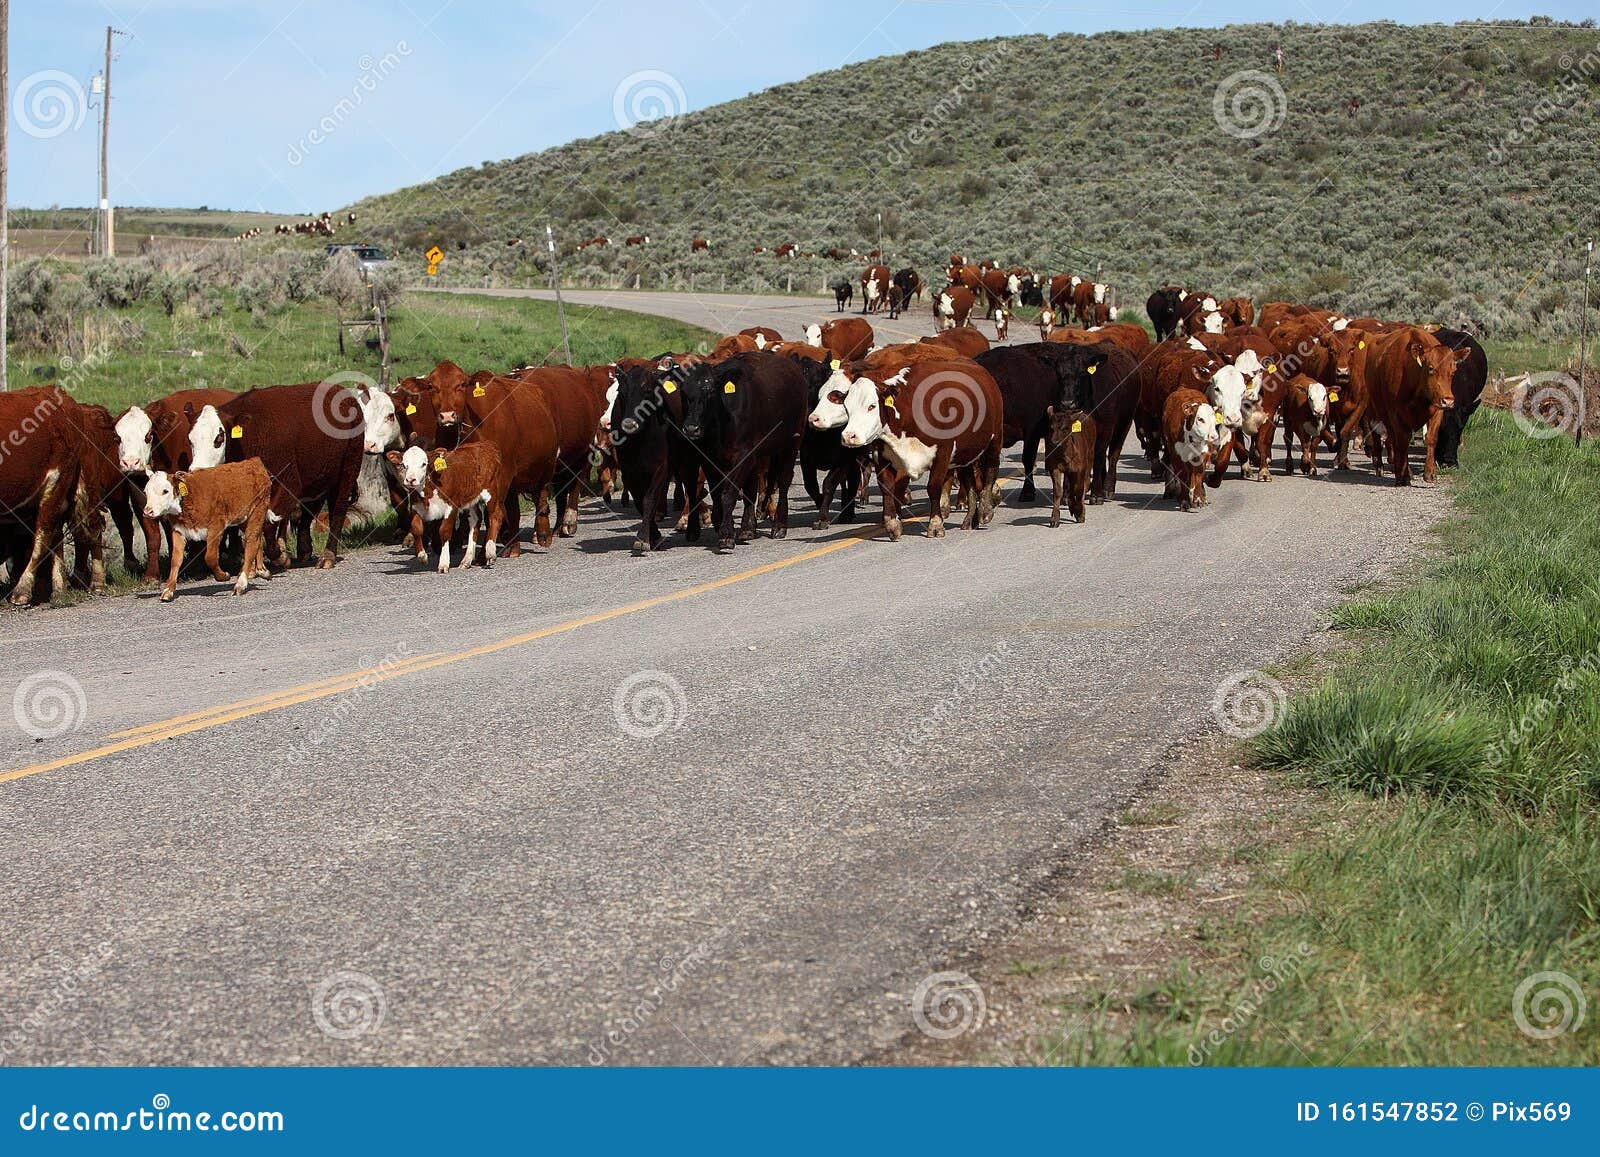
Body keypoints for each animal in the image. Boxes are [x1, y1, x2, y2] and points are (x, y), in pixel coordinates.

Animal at [141, 460, 275, 601]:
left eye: (165, 491)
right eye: (146, 491)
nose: (147, 511)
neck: (189, 497)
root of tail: (253, 462)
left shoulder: (216, 527)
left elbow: (210, 557)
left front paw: (223, 576)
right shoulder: (179, 530)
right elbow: (175, 560)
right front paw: (168, 590)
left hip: (258, 509)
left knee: (251, 541)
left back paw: (241, 584)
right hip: (243, 517)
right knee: (257, 539)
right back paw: (262, 571)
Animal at [188, 381, 367, 570]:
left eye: (219, 438)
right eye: (190, 440)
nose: (197, 471)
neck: (250, 435)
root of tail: (340, 391)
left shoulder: (289, 484)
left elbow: (268, 524)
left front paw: (279, 556)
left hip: (348, 469)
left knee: (338, 510)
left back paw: (328, 556)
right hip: (319, 477)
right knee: (310, 510)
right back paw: (304, 550)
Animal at [677, 351, 808, 551]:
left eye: (710, 391)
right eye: (683, 392)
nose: (691, 428)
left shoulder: (742, 456)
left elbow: (728, 494)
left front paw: (726, 534)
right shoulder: (710, 459)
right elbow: (718, 493)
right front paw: (722, 523)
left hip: (791, 442)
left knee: (784, 481)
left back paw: (779, 526)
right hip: (759, 455)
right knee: (751, 489)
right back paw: (748, 529)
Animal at [1363, 326, 1467, 485]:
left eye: (1453, 371)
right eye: (1430, 368)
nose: (1448, 400)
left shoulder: (1437, 410)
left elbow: (1431, 439)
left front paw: (1430, 473)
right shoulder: (1395, 413)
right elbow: (1402, 441)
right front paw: (1404, 476)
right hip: (1377, 410)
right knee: (1383, 436)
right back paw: (1386, 468)